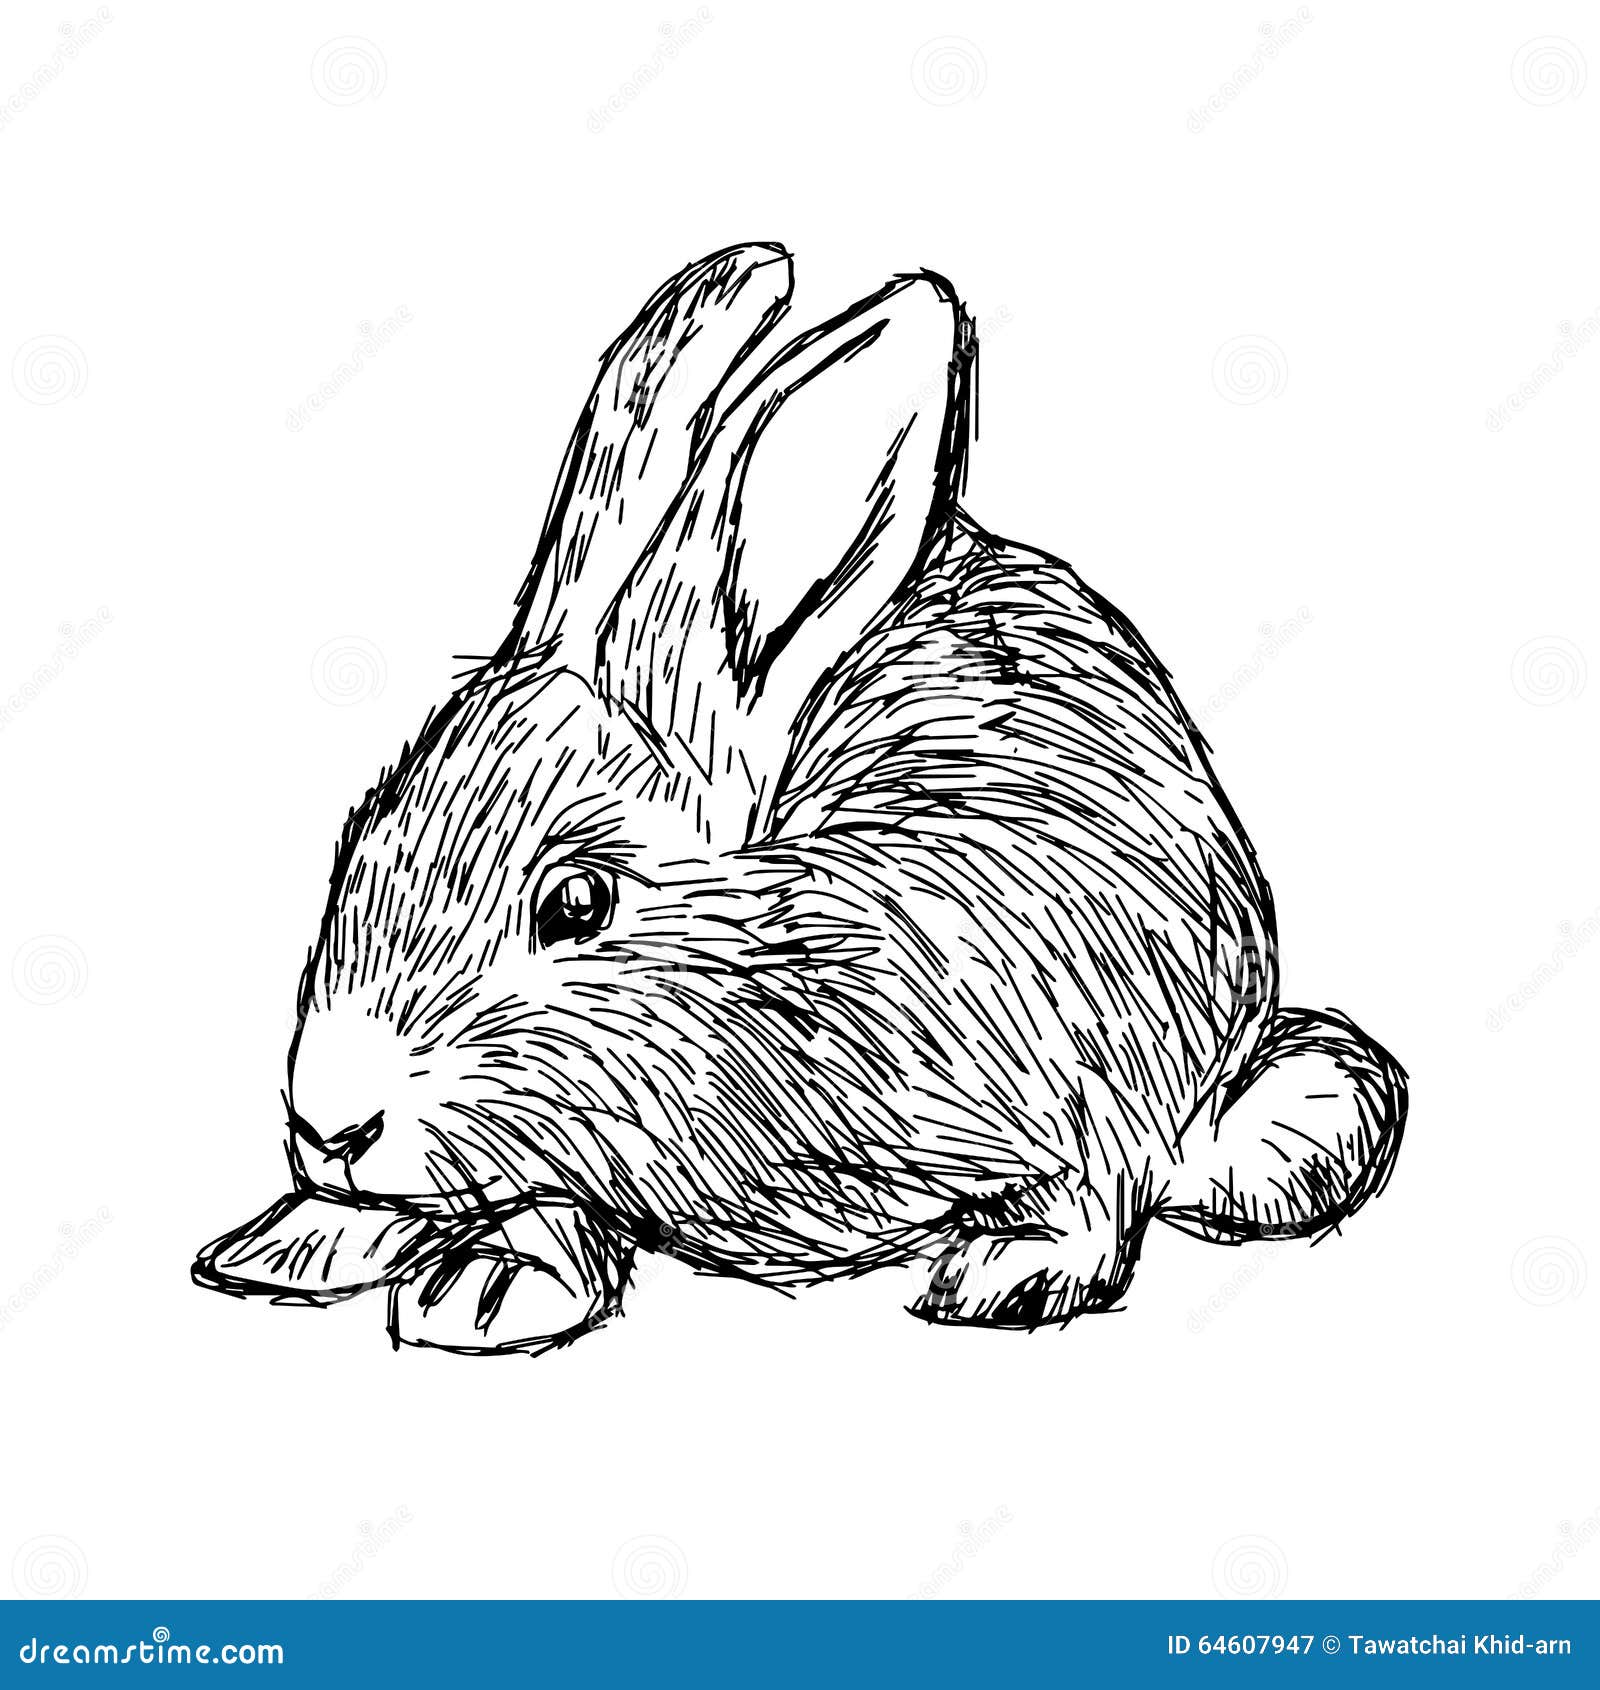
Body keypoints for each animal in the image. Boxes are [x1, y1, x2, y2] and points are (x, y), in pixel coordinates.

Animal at [193, 242, 1406, 1356]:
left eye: (578, 905)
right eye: (361, 830)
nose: (330, 1124)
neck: (774, 954)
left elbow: (1087, 1197)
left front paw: (1005, 1277)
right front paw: (476, 1281)